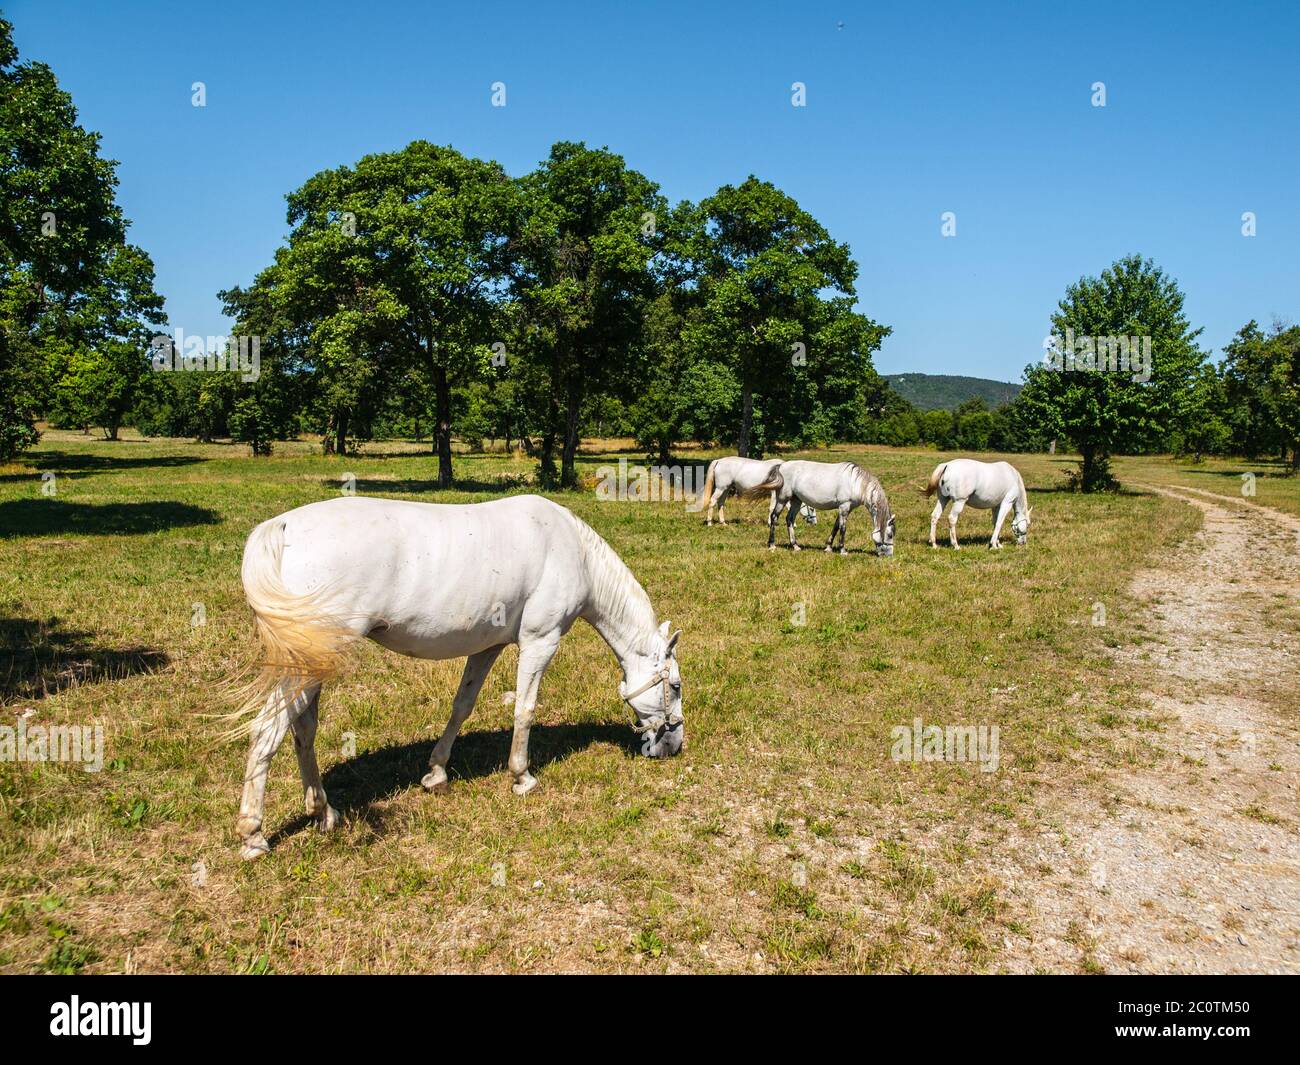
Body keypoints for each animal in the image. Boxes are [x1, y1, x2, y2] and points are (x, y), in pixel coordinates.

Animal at [231, 494, 683, 860]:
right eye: (675, 686)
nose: (673, 746)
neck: (573, 551)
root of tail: (282, 528)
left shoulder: (487, 647)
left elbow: (462, 705)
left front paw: (436, 773)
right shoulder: (540, 641)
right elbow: (525, 709)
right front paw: (522, 777)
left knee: (302, 731)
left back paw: (324, 812)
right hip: (306, 667)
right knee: (267, 731)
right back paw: (254, 836)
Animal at [766, 460, 896, 556]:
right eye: (890, 535)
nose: (889, 555)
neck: (856, 483)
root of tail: (781, 466)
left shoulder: (845, 508)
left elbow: (836, 526)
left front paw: (828, 547)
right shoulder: (844, 506)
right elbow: (843, 528)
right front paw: (842, 550)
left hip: (796, 500)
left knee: (790, 519)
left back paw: (795, 546)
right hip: (782, 499)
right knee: (774, 517)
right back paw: (772, 545)